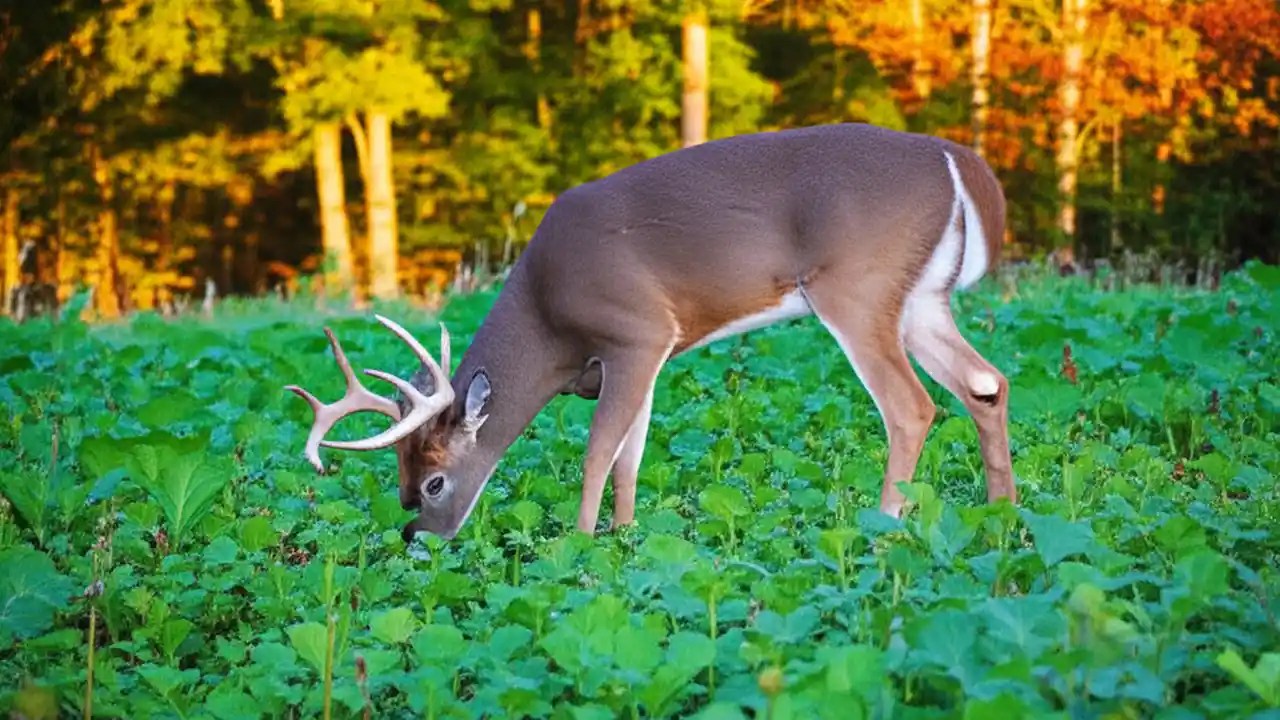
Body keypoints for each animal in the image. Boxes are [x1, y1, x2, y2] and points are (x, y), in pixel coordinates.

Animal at [285, 123, 1017, 544]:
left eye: (434, 482)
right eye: (401, 475)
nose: (417, 539)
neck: (550, 320)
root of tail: (960, 164)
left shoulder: (634, 331)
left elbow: (595, 452)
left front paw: (577, 547)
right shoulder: (644, 357)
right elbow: (630, 454)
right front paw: (625, 535)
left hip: (856, 286)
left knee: (912, 406)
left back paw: (886, 525)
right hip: (920, 299)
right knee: (987, 383)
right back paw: (1003, 513)